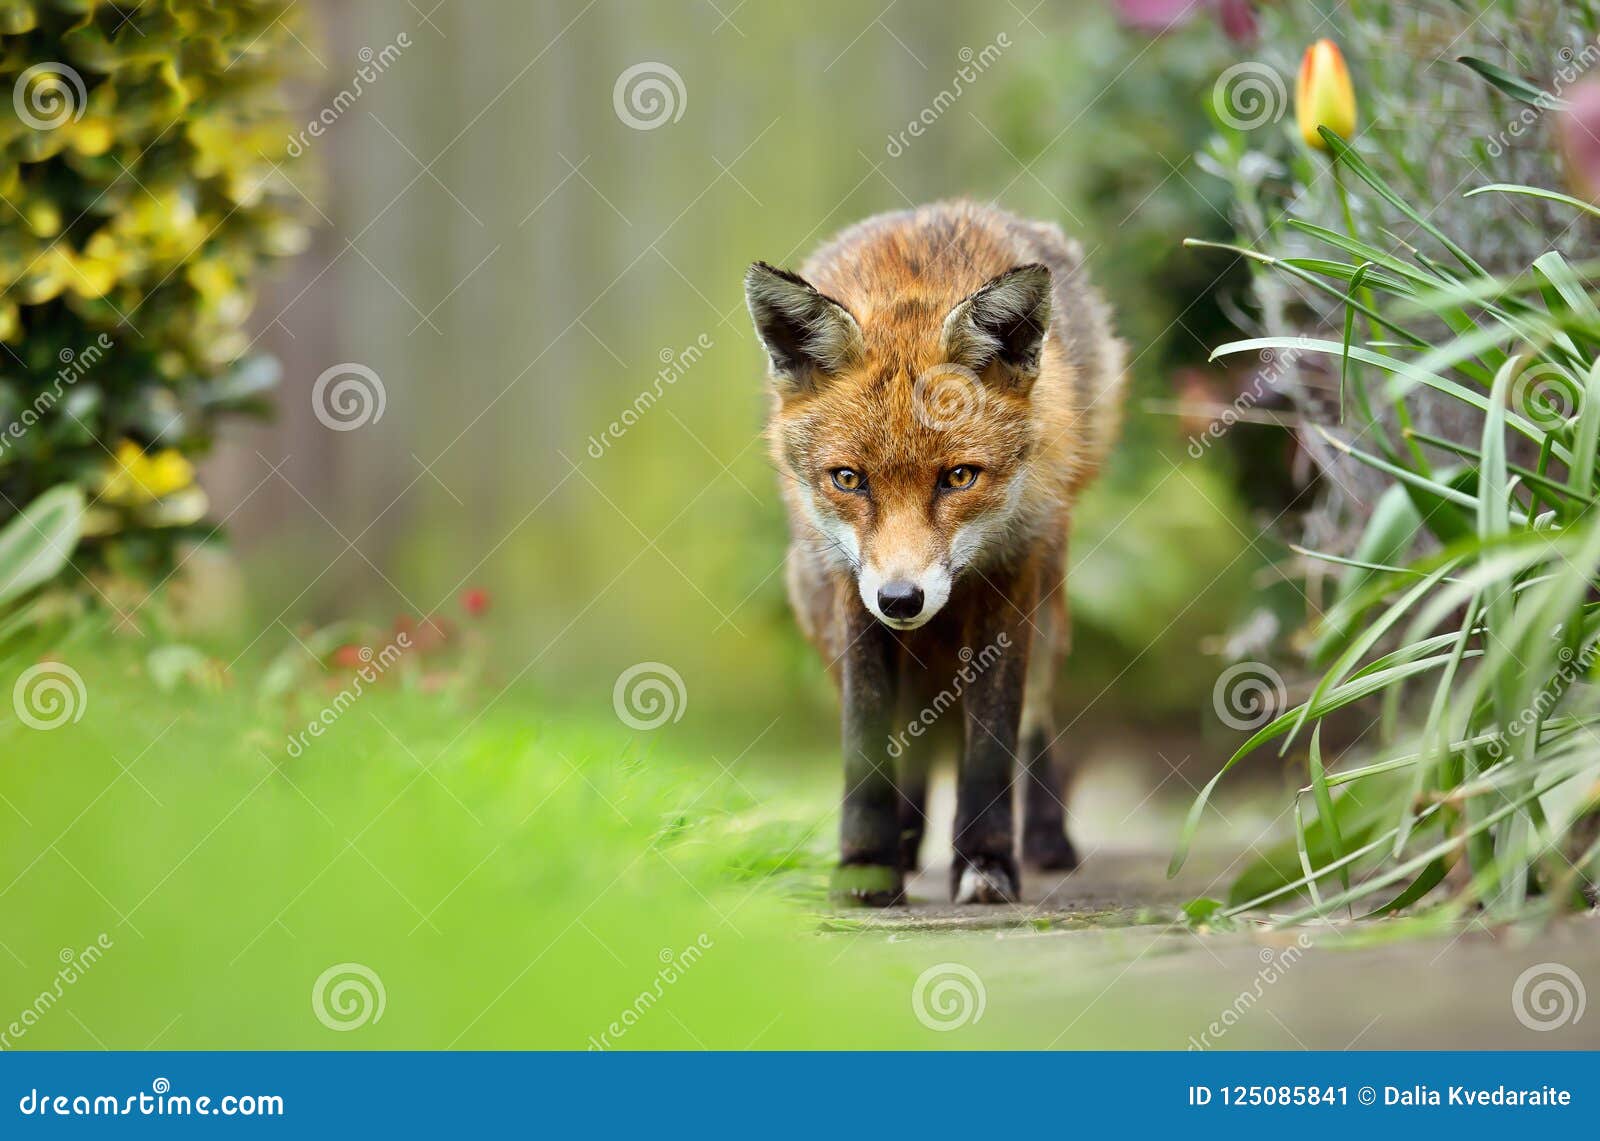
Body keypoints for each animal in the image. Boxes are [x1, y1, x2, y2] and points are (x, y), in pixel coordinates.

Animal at [744, 199, 1127, 906]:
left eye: (958, 477)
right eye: (848, 479)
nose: (902, 599)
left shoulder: (1011, 575)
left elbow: (992, 743)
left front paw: (986, 862)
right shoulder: (849, 589)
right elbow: (868, 734)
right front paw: (866, 863)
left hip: (1050, 604)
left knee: (1036, 720)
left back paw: (1046, 838)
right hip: (809, 593)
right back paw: (904, 837)